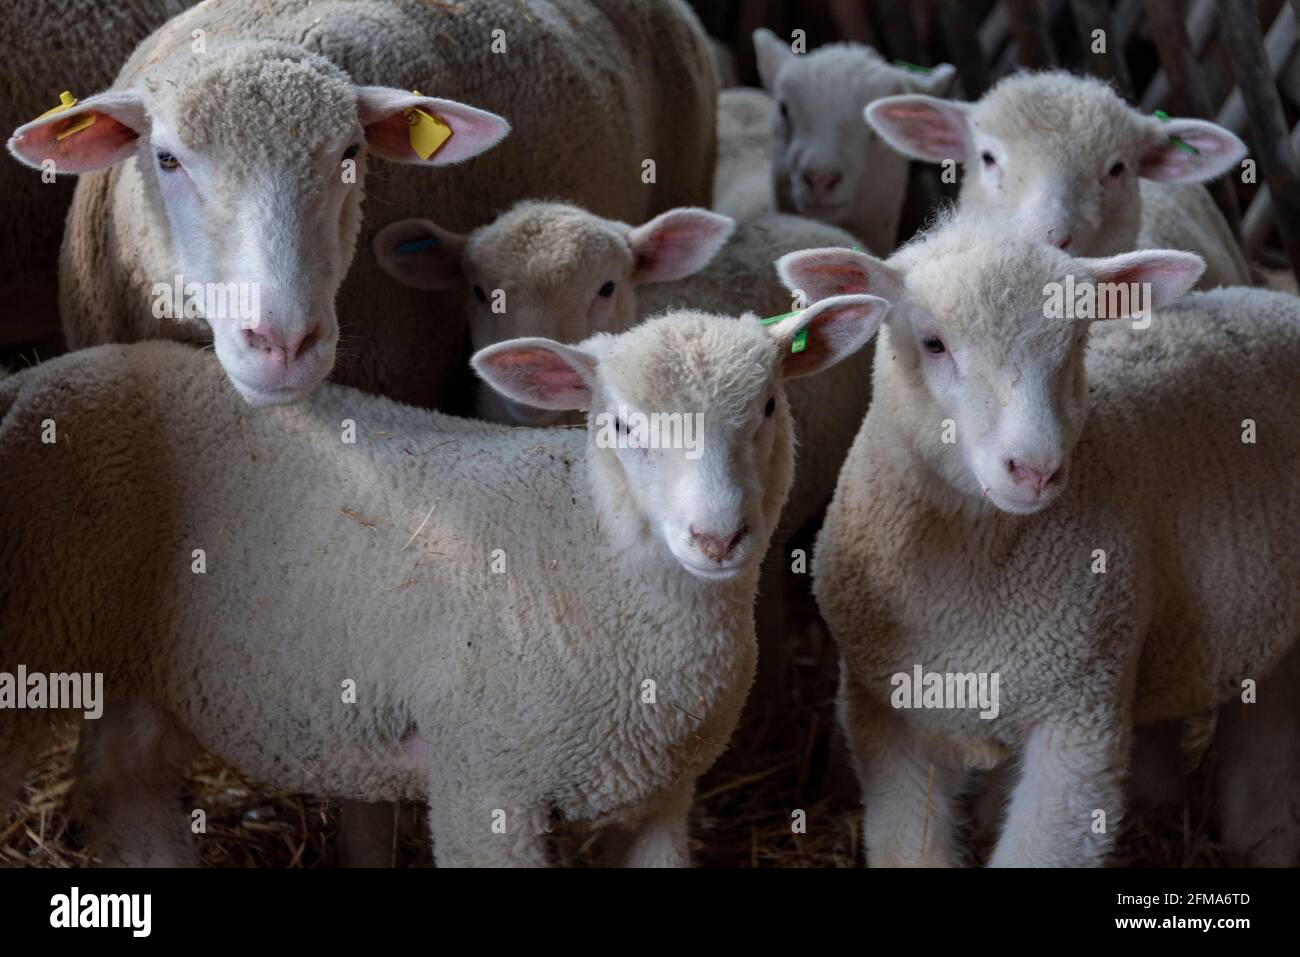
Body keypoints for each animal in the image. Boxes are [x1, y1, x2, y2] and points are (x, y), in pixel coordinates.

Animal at [0, 294, 886, 867]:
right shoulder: (486, 783)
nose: (718, 535)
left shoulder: (664, 795)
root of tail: (44, 372)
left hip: (147, 658)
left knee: (121, 779)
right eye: (622, 424)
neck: (586, 549)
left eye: (767, 406)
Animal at [779, 211, 1300, 866]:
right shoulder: (888, 717)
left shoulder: (1079, 714)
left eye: (1077, 343)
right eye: (933, 343)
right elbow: (908, 844)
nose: (1035, 470)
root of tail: (1275, 299)